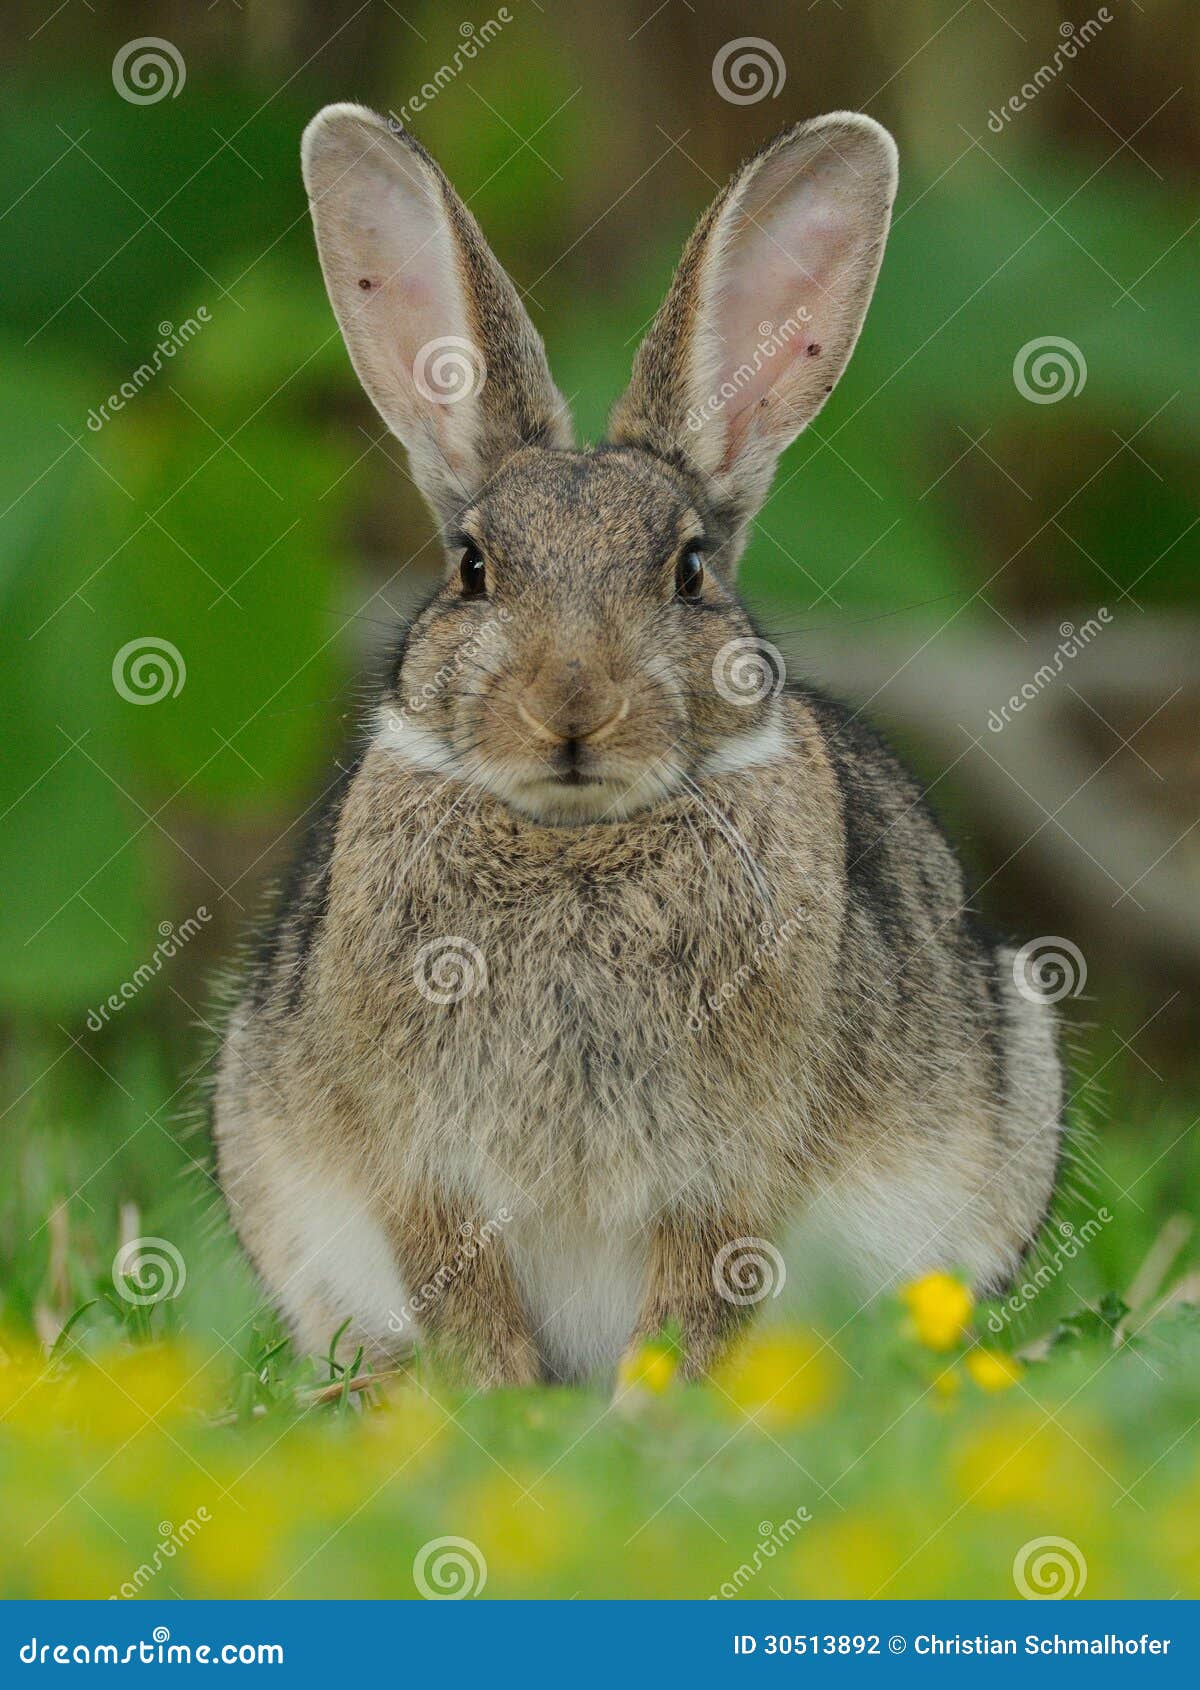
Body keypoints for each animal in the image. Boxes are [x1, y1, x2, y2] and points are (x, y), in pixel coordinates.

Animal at [213, 103, 1063, 1388]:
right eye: (472, 567)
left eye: (690, 568)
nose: (573, 705)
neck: (575, 835)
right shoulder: (422, 1175)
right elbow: (460, 1286)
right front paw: (494, 1403)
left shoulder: (725, 1180)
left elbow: (701, 1290)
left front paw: (647, 1407)